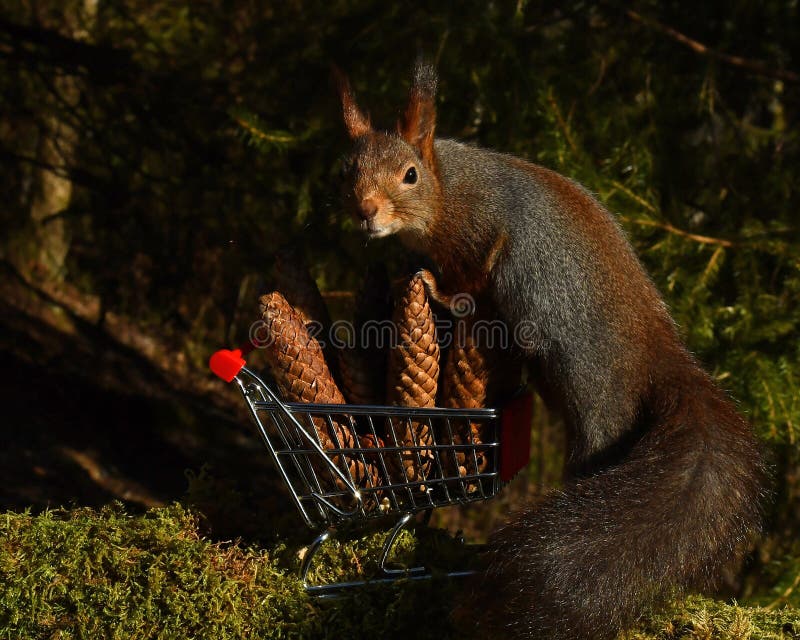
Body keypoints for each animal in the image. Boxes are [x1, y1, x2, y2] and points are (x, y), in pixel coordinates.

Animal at [334, 61, 766, 640]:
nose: (366, 211)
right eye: (346, 170)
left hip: (598, 402)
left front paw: (432, 289)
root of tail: (658, 355)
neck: (447, 189)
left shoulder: (483, 237)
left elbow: (470, 280)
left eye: (409, 175)